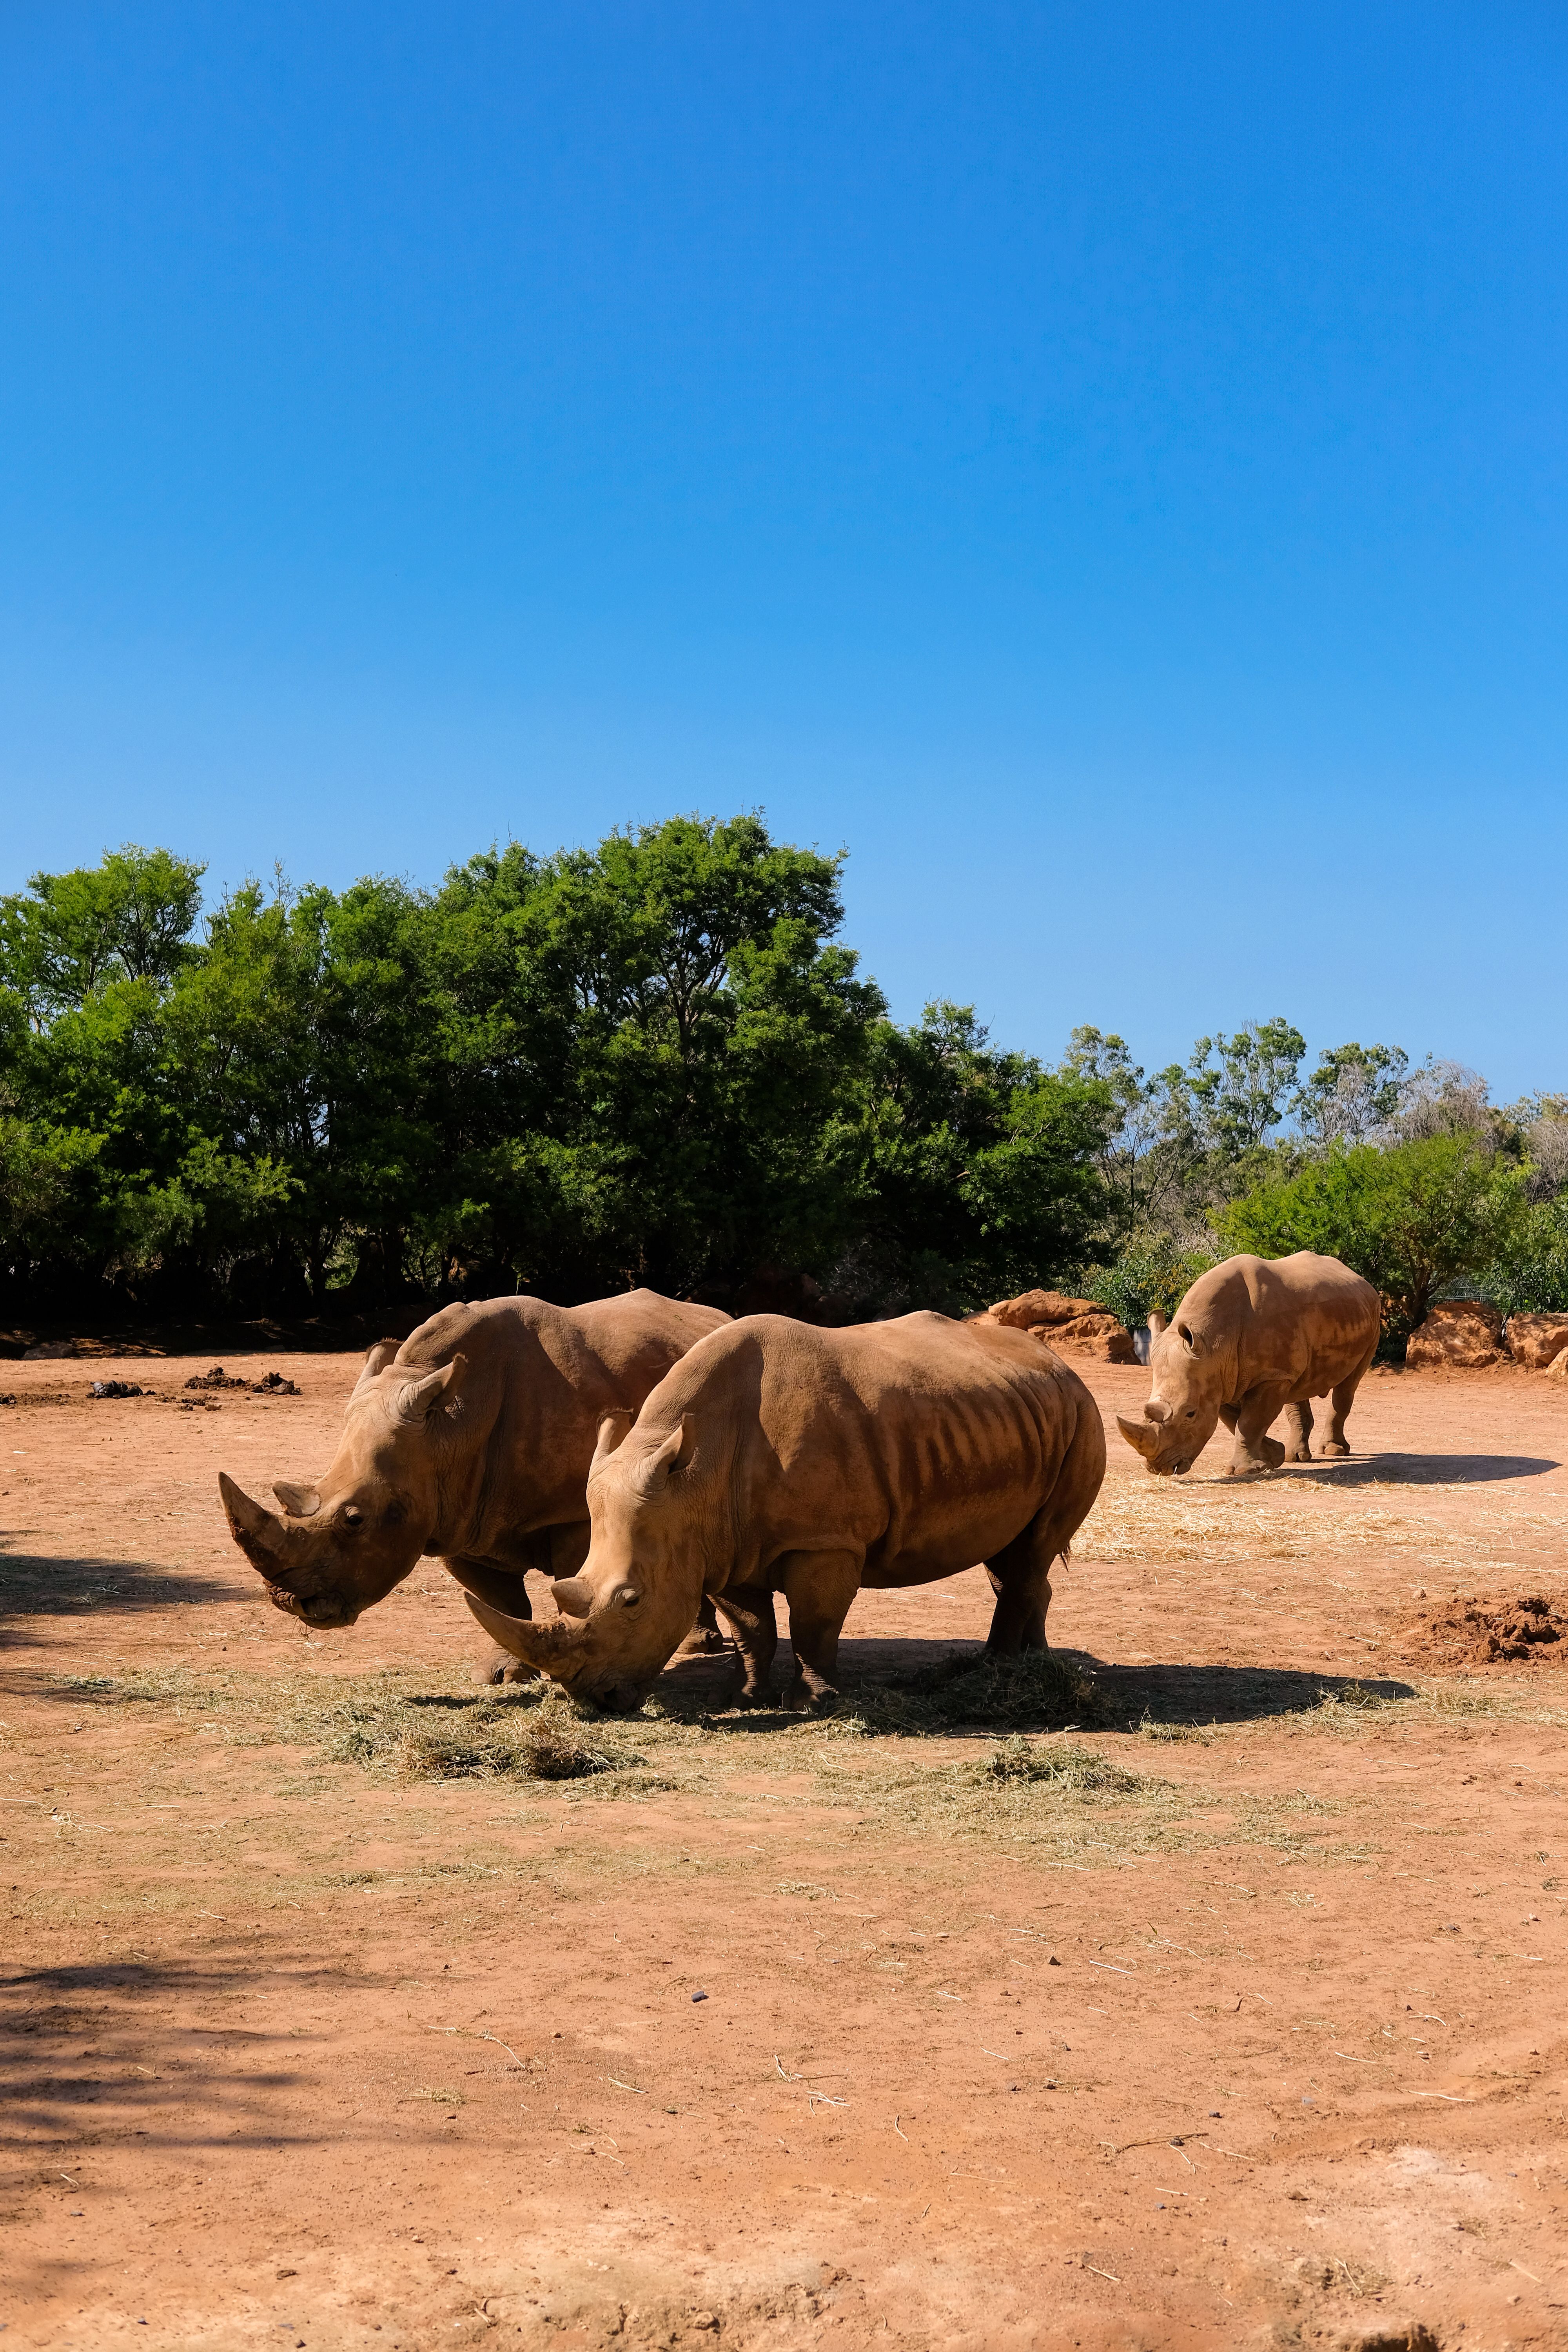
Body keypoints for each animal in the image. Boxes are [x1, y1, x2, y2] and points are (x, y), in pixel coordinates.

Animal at [217, 1289, 728, 1677]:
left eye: (355, 1520)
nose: (287, 1600)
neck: (449, 1429)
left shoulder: (572, 1512)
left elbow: (582, 1579)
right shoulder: (453, 1514)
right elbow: (499, 1599)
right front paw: (504, 1672)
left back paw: (698, 1645)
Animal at [477, 1309, 1107, 1715]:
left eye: (631, 1602)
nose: (596, 1701)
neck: (694, 1481)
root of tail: (1058, 1363)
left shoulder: (824, 1540)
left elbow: (814, 1622)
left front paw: (814, 1702)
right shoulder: (721, 1542)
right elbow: (752, 1627)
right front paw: (745, 1698)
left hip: (1083, 1415)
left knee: (1031, 1552)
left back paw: (998, 1671)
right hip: (1019, 1414)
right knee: (1014, 1554)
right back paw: (1029, 1662)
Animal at [1116, 1251, 1381, 1478]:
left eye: (1190, 1414)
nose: (1159, 1468)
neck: (1214, 1341)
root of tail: (1361, 1281)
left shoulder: (1268, 1376)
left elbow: (1249, 1422)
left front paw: (1246, 1471)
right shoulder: (1219, 1377)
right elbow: (1237, 1422)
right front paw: (1274, 1457)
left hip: (1373, 1319)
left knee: (1348, 1386)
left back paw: (1334, 1451)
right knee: (1298, 1387)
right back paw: (1295, 1457)